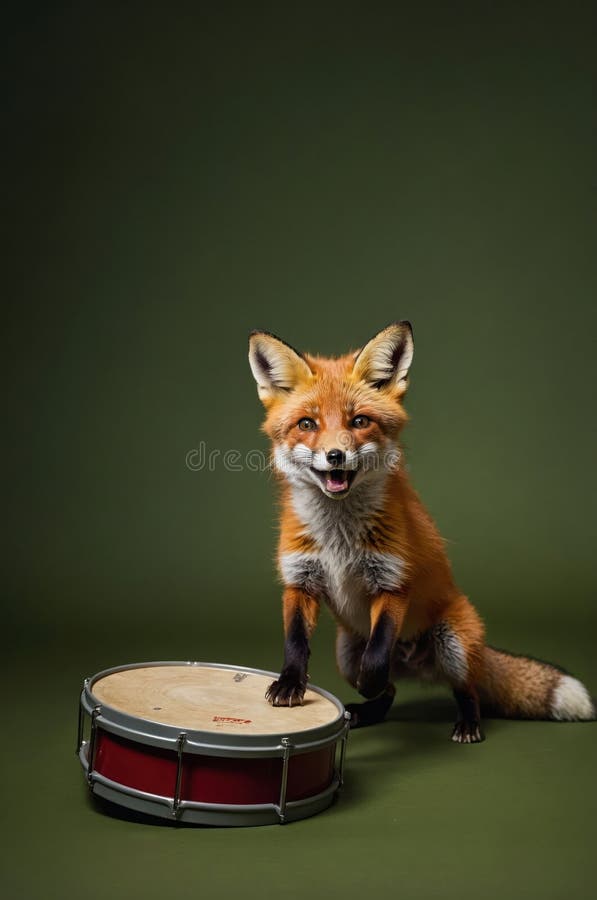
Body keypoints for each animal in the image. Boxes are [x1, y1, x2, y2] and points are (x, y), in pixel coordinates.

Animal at [248, 322, 594, 742]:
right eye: (307, 424)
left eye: (359, 421)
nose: (335, 456)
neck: (338, 537)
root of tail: (416, 666)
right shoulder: (300, 581)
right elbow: (296, 642)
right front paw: (290, 683)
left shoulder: (392, 581)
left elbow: (378, 650)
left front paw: (367, 680)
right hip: (345, 652)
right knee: (391, 692)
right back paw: (365, 710)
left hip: (453, 646)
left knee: (465, 689)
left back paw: (467, 722)